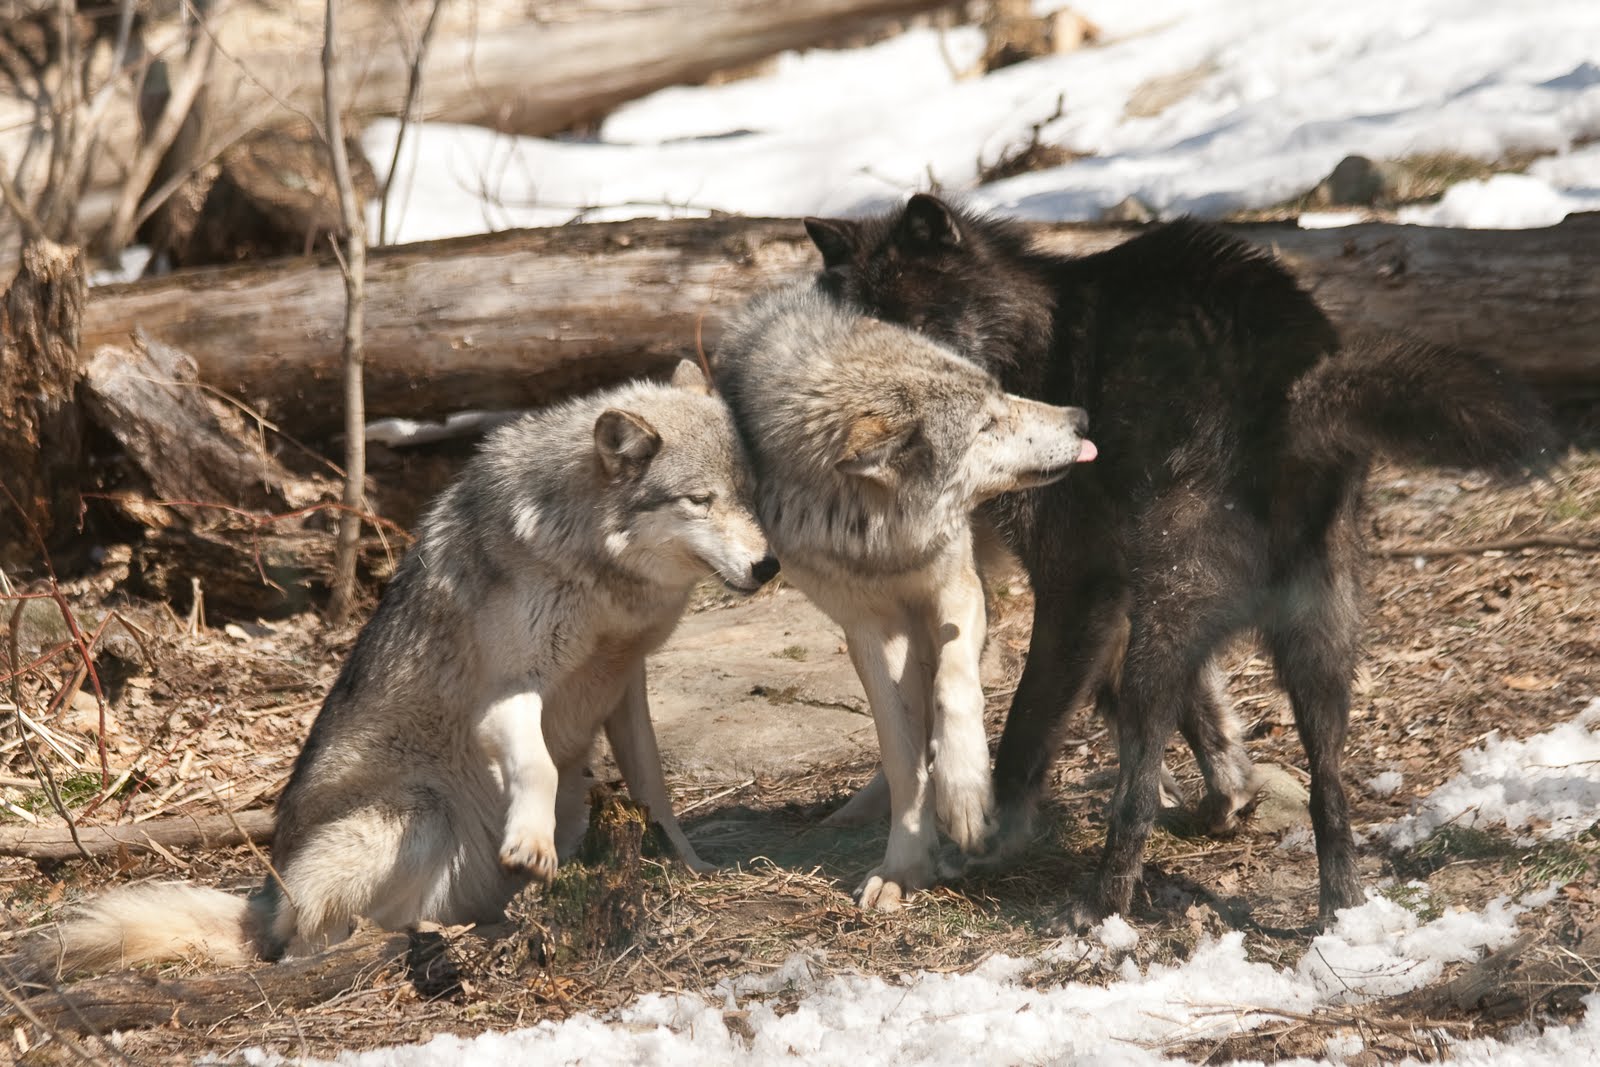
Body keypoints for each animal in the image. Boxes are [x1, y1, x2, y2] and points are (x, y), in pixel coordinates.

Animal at [19, 362, 778, 979]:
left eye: (746, 493)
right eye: (699, 500)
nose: (769, 565)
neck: (593, 566)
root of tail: (263, 903)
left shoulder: (625, 682)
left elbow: (653, 783)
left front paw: (689, 863)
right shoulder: (508, 696)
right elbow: (535, 764)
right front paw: (530, 844)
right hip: (417, 810)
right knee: (308, 944)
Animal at [713, 285, 1095, 910]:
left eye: (999, 394)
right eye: (986, 424)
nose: (1081, 416)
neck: (882, 537)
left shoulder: (955, 587)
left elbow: (955, 686)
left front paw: (965, 794)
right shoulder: (869, 626)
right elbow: (899, 753)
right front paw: (904, 865)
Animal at [803, 194, 1557, 925]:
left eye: (912, 329)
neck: (1035, 337)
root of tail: (1292, 400)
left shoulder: (1081, 588)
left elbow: (1029, 726)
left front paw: (986, 833)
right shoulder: (1126, 593)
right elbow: (1206, 716)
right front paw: (1228, 799)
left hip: (1169, 617)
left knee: (1134, 788)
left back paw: (1100, 905)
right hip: (1308, 639)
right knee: (1329, 789)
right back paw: (1341, 907)